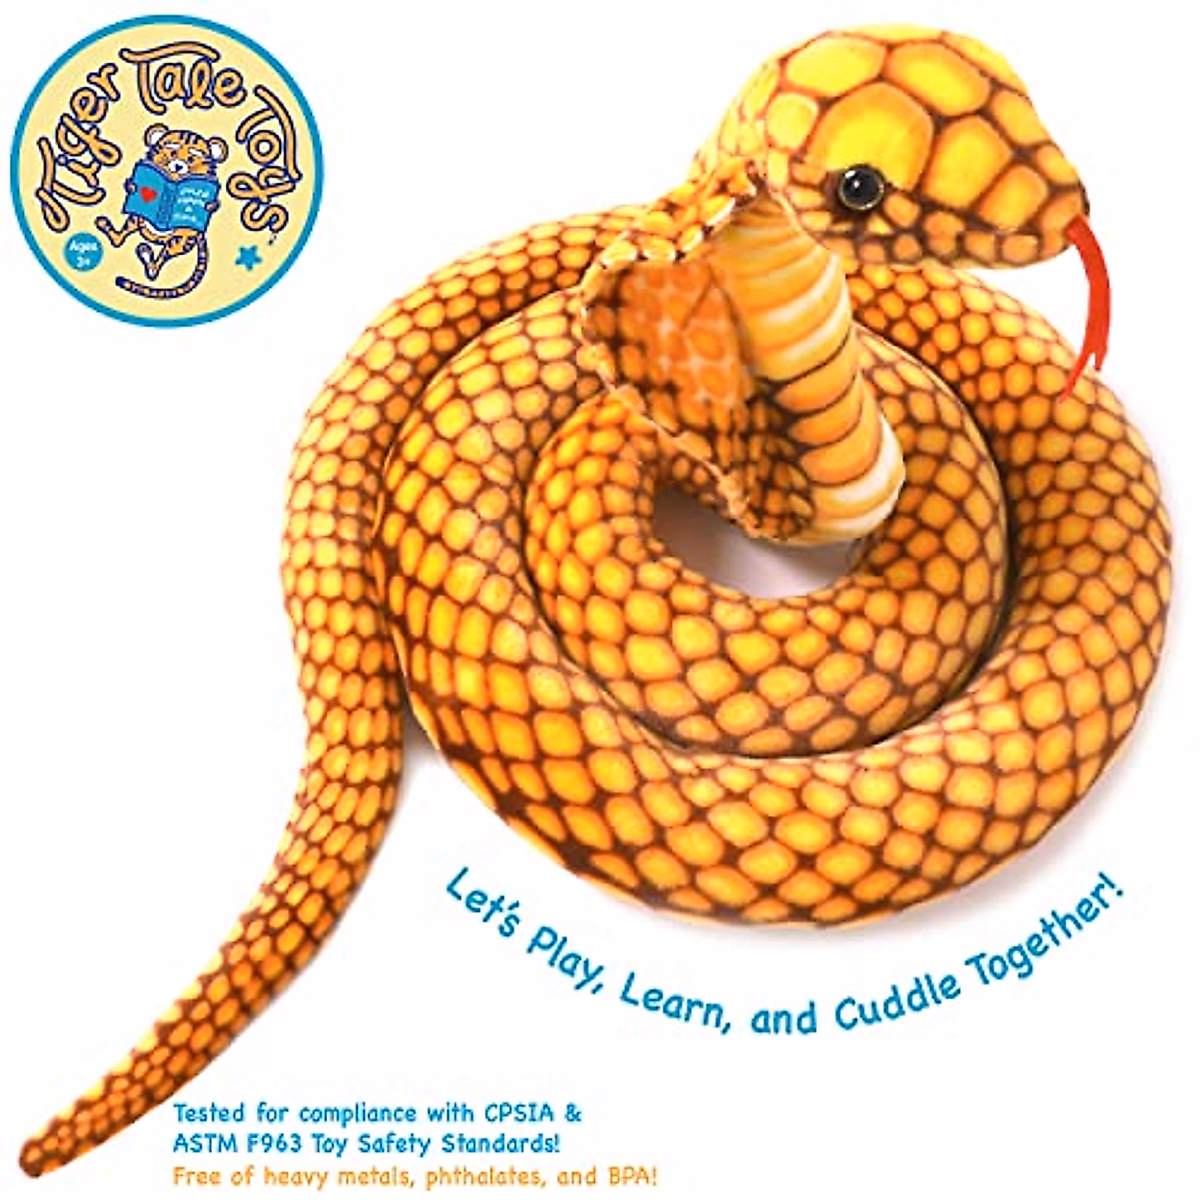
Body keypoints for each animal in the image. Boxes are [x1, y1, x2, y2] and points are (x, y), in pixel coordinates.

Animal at [96, 124, 227, 301]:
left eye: (192, 159)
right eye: (172, 153)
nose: (178, 166)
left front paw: (210, 205)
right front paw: (131, 185)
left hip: (180, 240)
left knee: (156, 267)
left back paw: (146, 253)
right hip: (137, 218)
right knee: (120, 238)